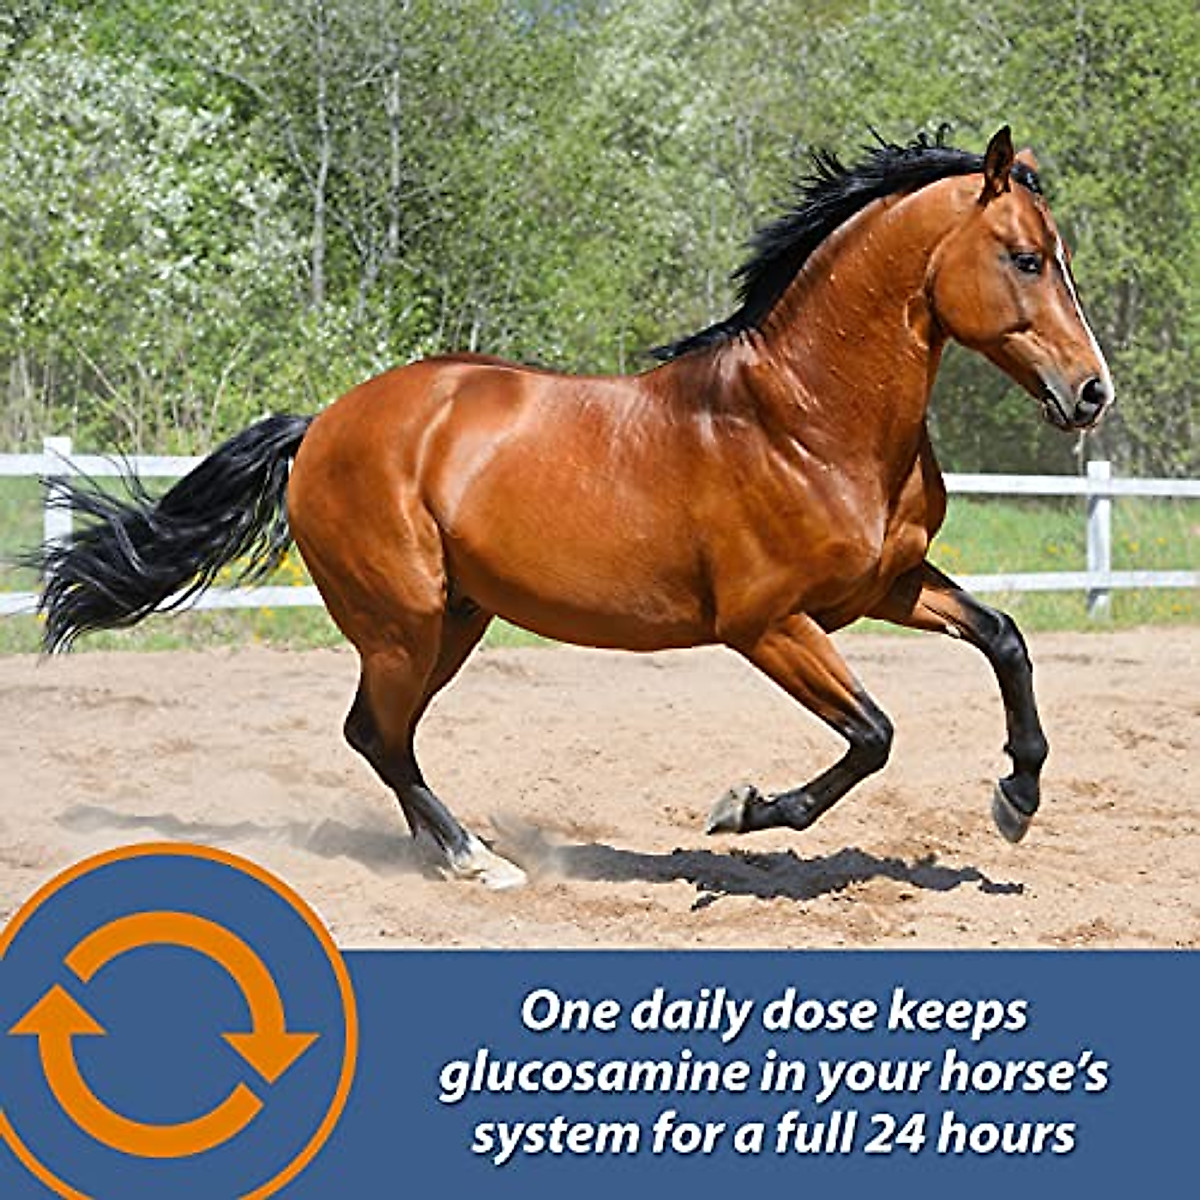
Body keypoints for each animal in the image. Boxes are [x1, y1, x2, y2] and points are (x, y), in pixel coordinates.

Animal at [34, 126, 1112, 890]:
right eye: (1025, 258)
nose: (1091, 392)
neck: (805, 419)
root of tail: (327, 422)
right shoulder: (768, 624)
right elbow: (874, 734)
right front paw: (740, 809)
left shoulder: (883, 588)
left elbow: (1006, 638)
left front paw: (1017, 796)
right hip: (403, 619)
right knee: (377, 735)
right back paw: (476, 861)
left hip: (455, 620)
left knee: (381, 735)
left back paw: (455, 854)